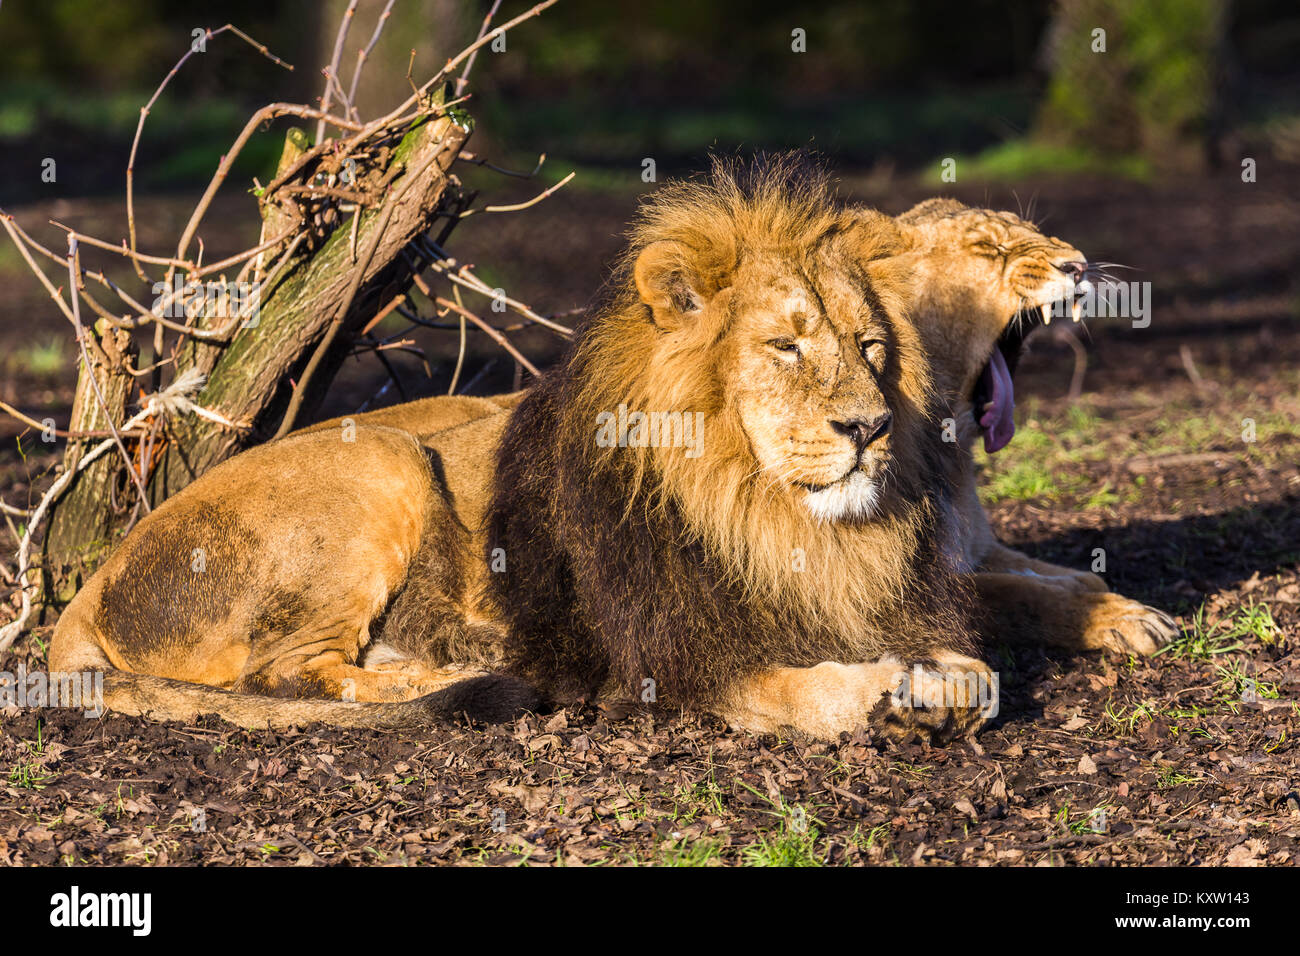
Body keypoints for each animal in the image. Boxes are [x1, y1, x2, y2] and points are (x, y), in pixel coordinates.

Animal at [50, 156, 994, 741]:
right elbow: (804, 685)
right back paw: (448, 678)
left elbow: (978, 670)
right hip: (382, 451)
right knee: (286, 678)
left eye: (872, 349)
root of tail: (88, 592)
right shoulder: (672, 663)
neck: (769, 515)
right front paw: (879, 695)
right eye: (785, 347)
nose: (868, 428)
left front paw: (938, 685)